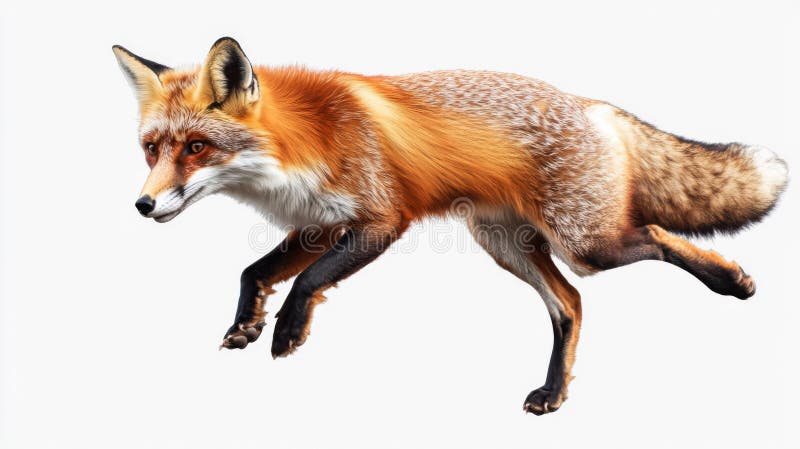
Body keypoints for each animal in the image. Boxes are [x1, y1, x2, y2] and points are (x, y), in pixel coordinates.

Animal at [113, 37, 788, 415]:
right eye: (150, 149)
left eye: (196, 147)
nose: (142, 206)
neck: (303, 140)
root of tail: (591, 104)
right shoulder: (321, 225)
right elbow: (256, 270)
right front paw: (247, 323)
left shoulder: (382, 216)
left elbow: (306, 282)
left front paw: (286, 333)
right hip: (507, 247)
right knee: (570, 302)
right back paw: (553, 394)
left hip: (589, 242)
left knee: (654, 238)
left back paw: (733, 281)